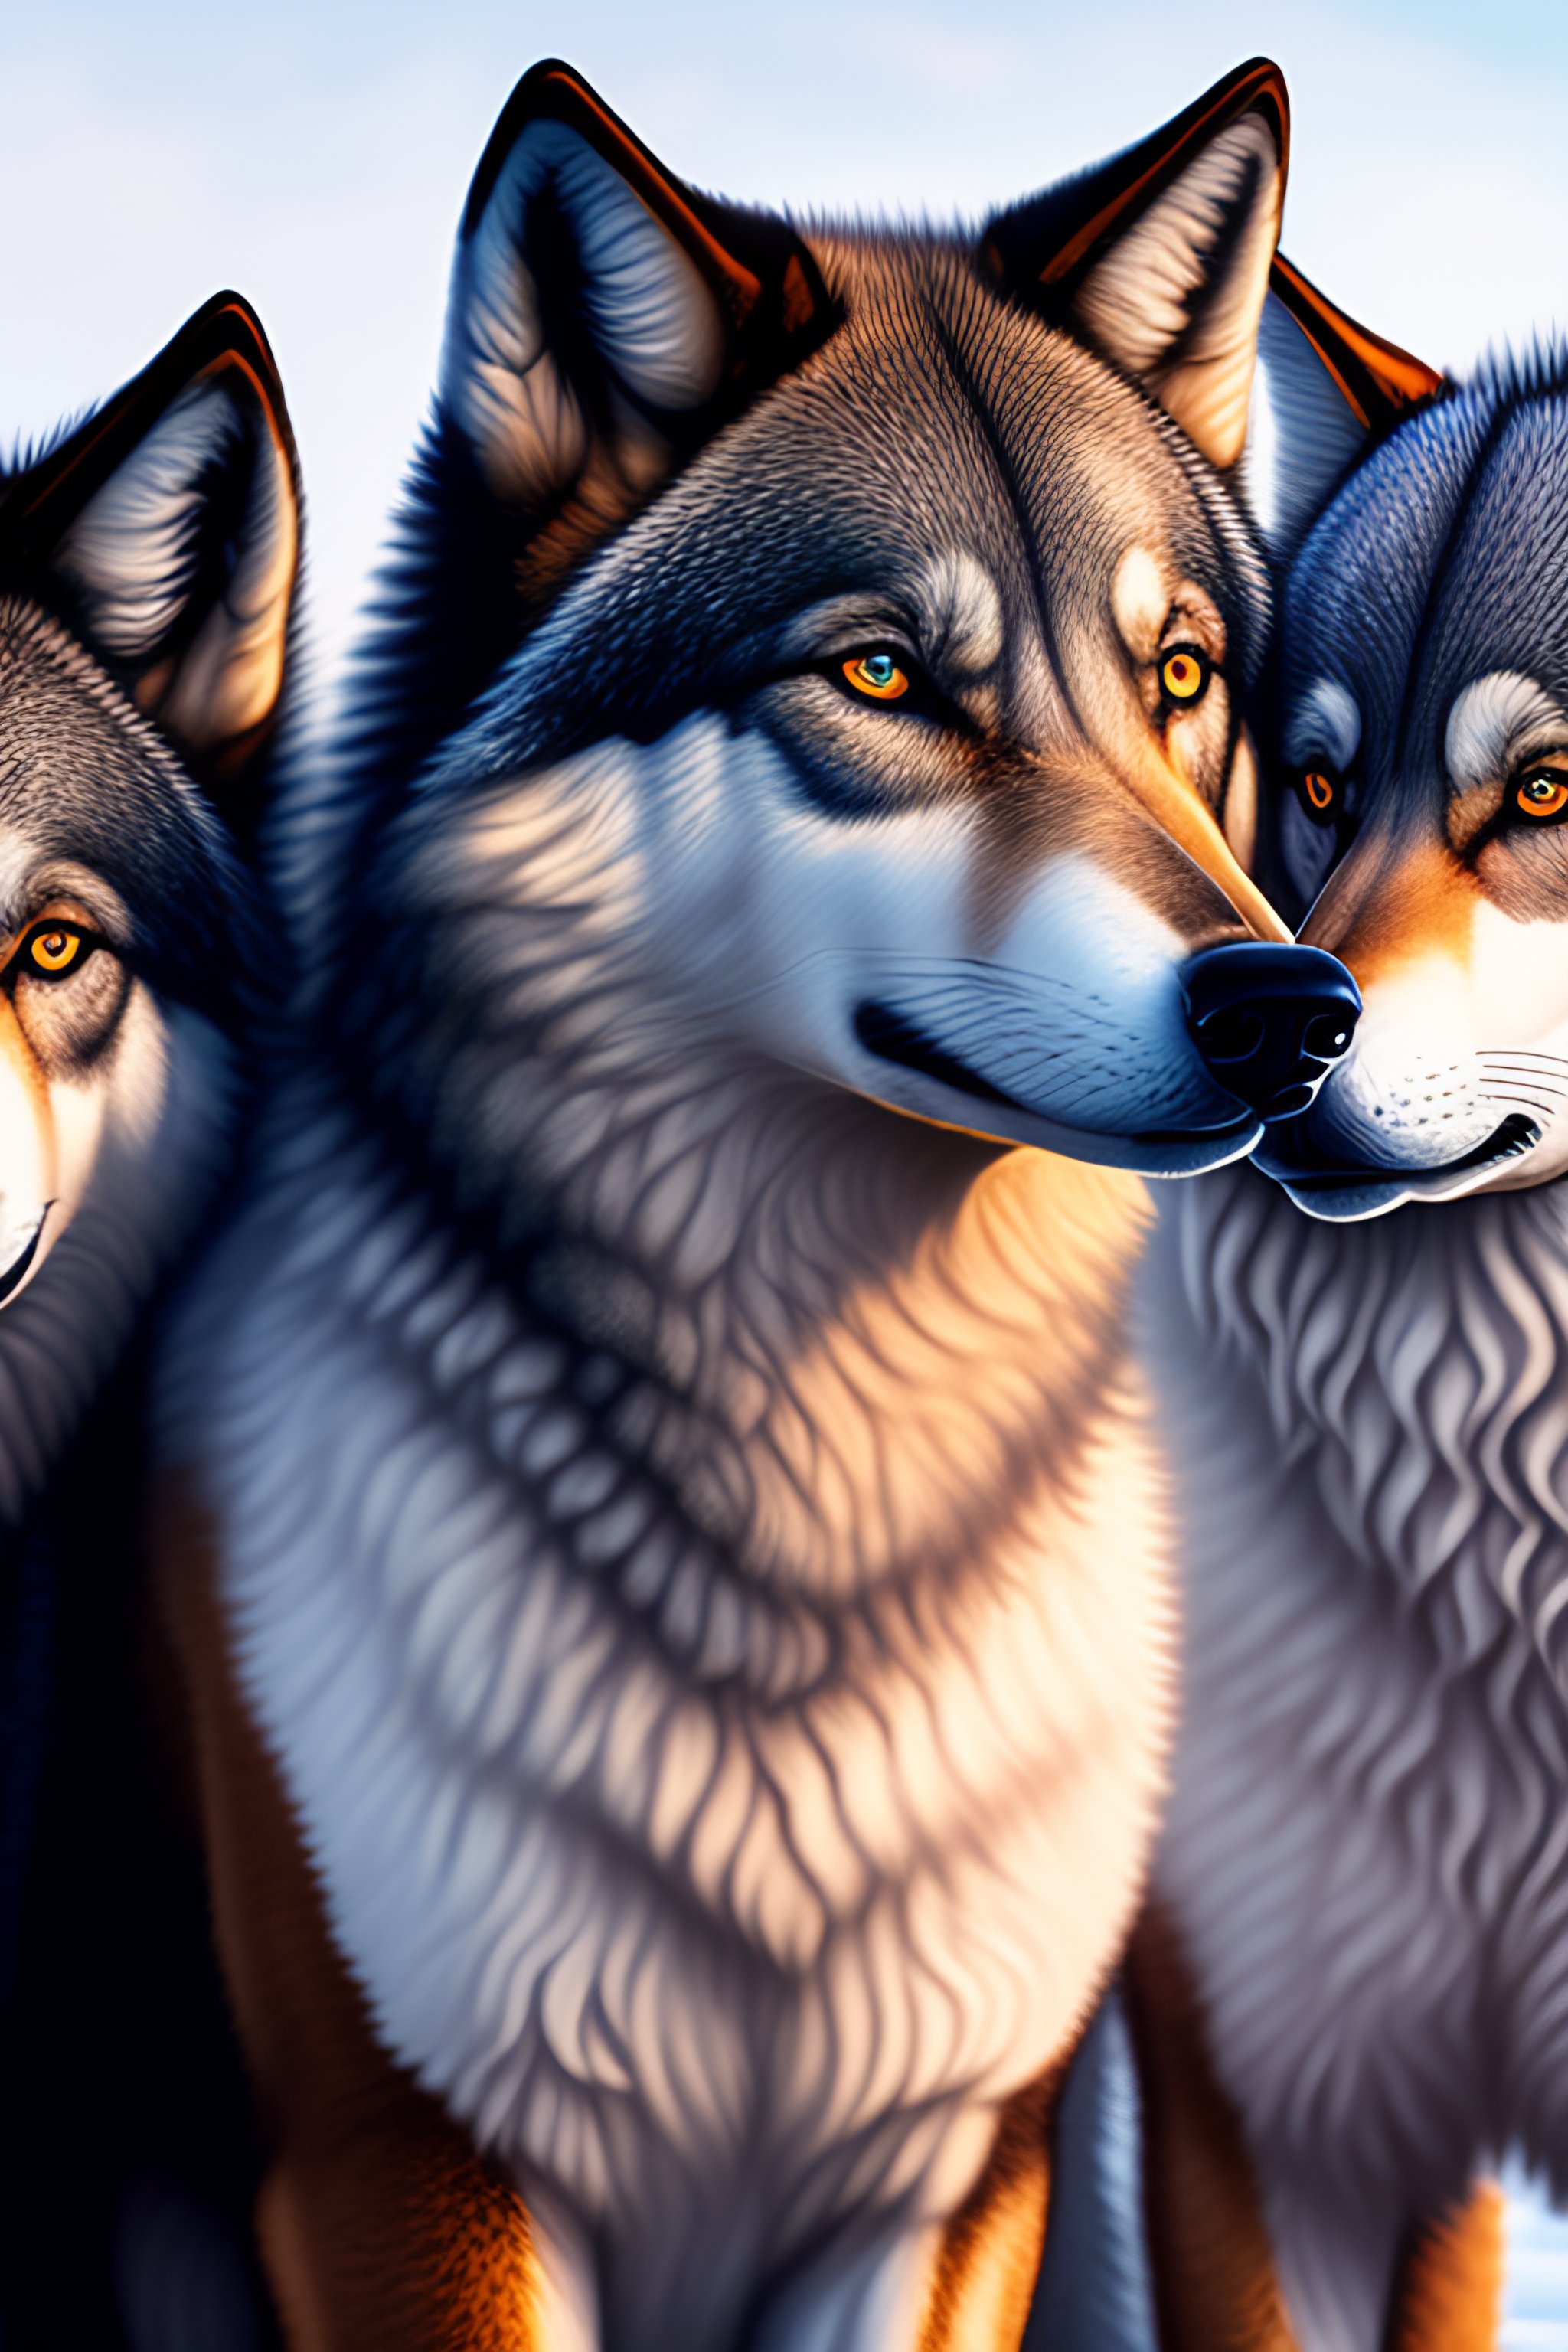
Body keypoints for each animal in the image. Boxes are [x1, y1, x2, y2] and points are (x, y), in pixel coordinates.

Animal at [154, 57, 1367, 2352]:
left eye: (1175, 678)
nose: (1293, 1010)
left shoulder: (949, 2178)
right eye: (882, 676)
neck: (818, 1536)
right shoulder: (400, 2169)